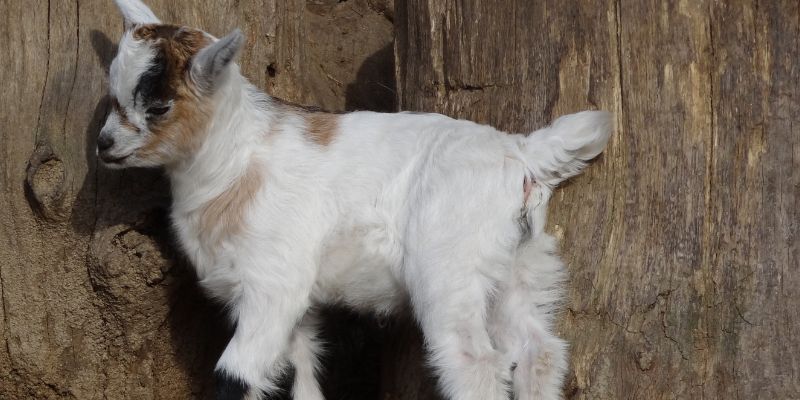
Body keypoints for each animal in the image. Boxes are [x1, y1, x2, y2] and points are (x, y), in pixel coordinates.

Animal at [98, 1, 612, 399]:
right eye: (114, 96)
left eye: (159, 105)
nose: (103, 145)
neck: (235, 158)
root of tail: (521, 152)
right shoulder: (298, 306)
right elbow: (300, 375)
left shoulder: (272, 284)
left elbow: (236, 376)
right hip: (519, 266)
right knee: (539, 352)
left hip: (451, 268)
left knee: (476, 362)